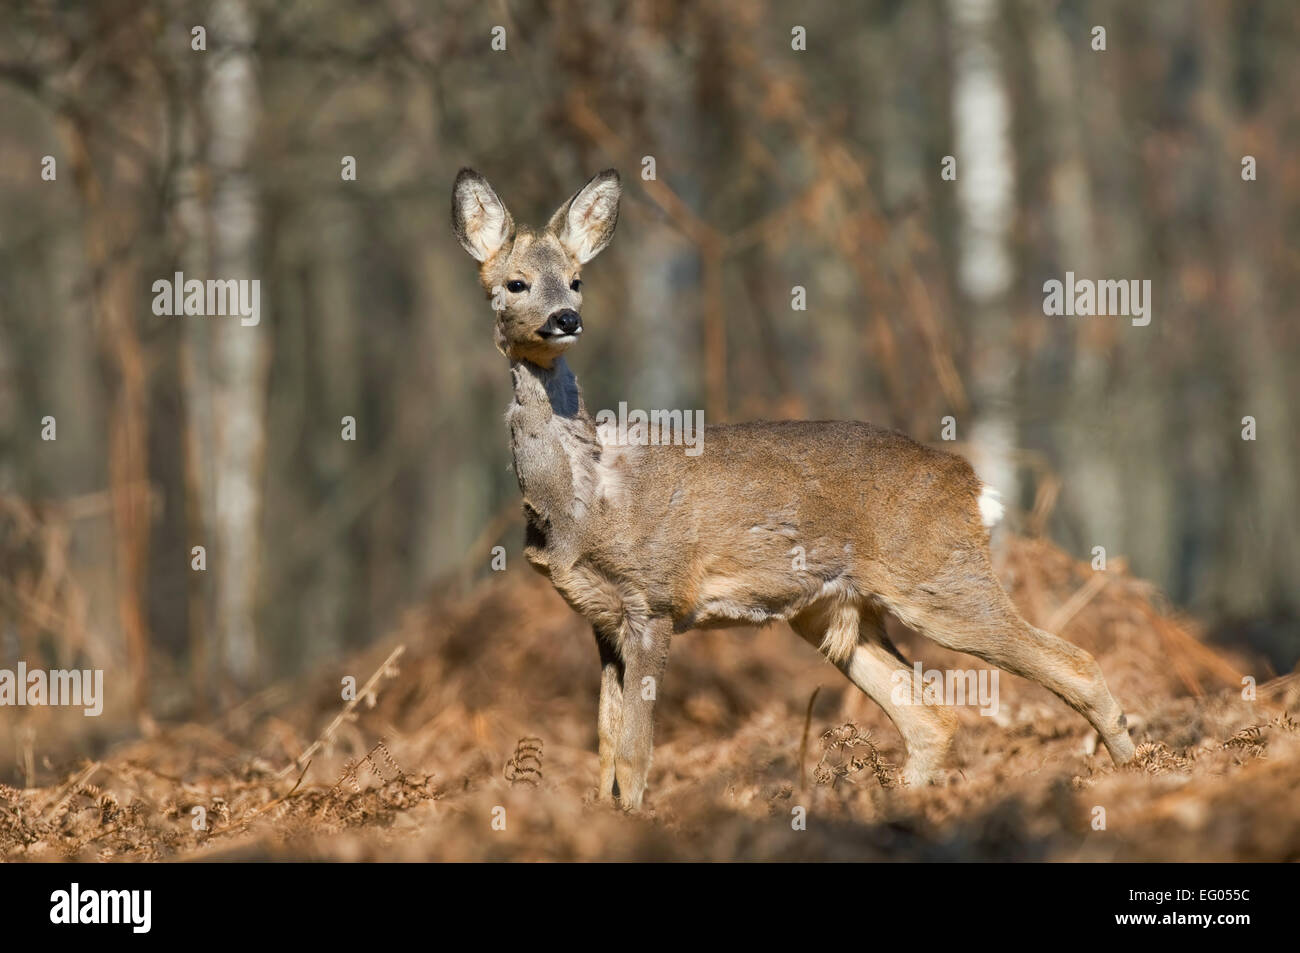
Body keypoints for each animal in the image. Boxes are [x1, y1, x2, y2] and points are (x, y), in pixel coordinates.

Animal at [452, 167, 1136, 810]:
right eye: (515, 283)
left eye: (576, 280)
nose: (566, 319)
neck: (583, 495)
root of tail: (970, 485)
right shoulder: (600, 618)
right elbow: (603, 747)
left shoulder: (654, 596)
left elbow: (635, 752)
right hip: (833, 613)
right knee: (930, 716)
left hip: (940, 578)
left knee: (1074, 663)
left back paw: (1134, 771)